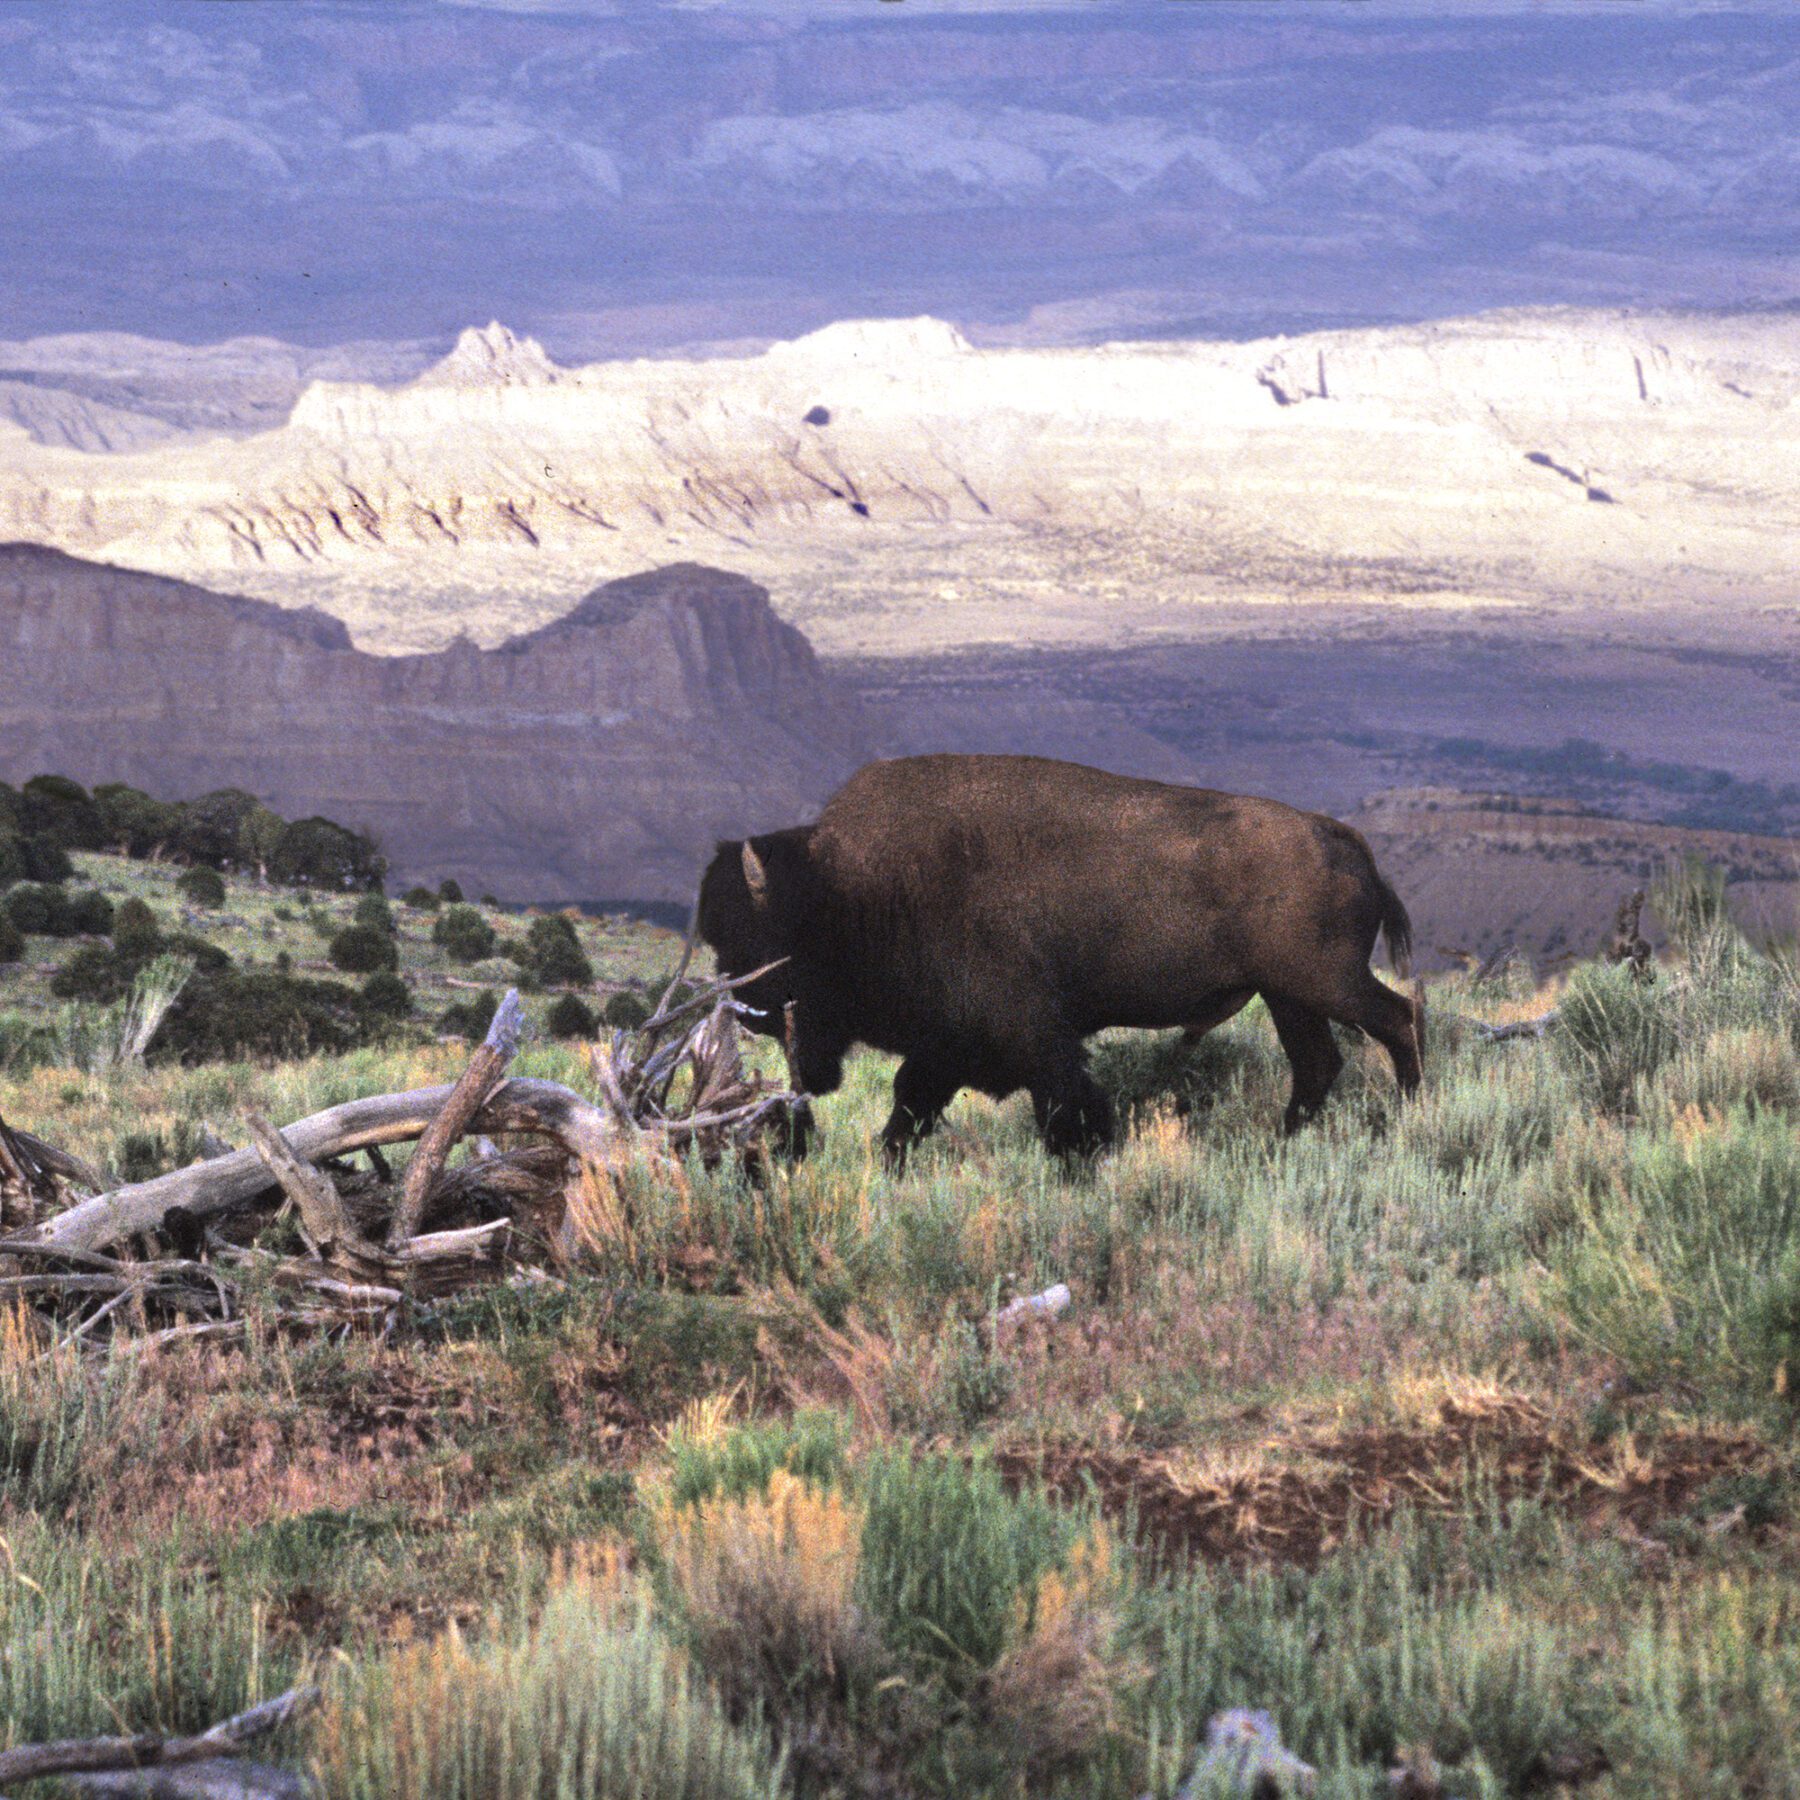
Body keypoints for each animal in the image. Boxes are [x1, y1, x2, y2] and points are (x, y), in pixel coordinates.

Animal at [698, 753, 1422, 1161]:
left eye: (769, 939)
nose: (750, 1008)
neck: (851, 890)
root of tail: (1340, 836)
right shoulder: (949, 1043)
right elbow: (910, 1103)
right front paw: (888, 1160)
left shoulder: (1031, 1036)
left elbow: (1066, 1107)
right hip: (1287, 995)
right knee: (1319, 1061)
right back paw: (1283, 1141)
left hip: (1323, 982)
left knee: (1398, 1019)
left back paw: (1414, 1116)